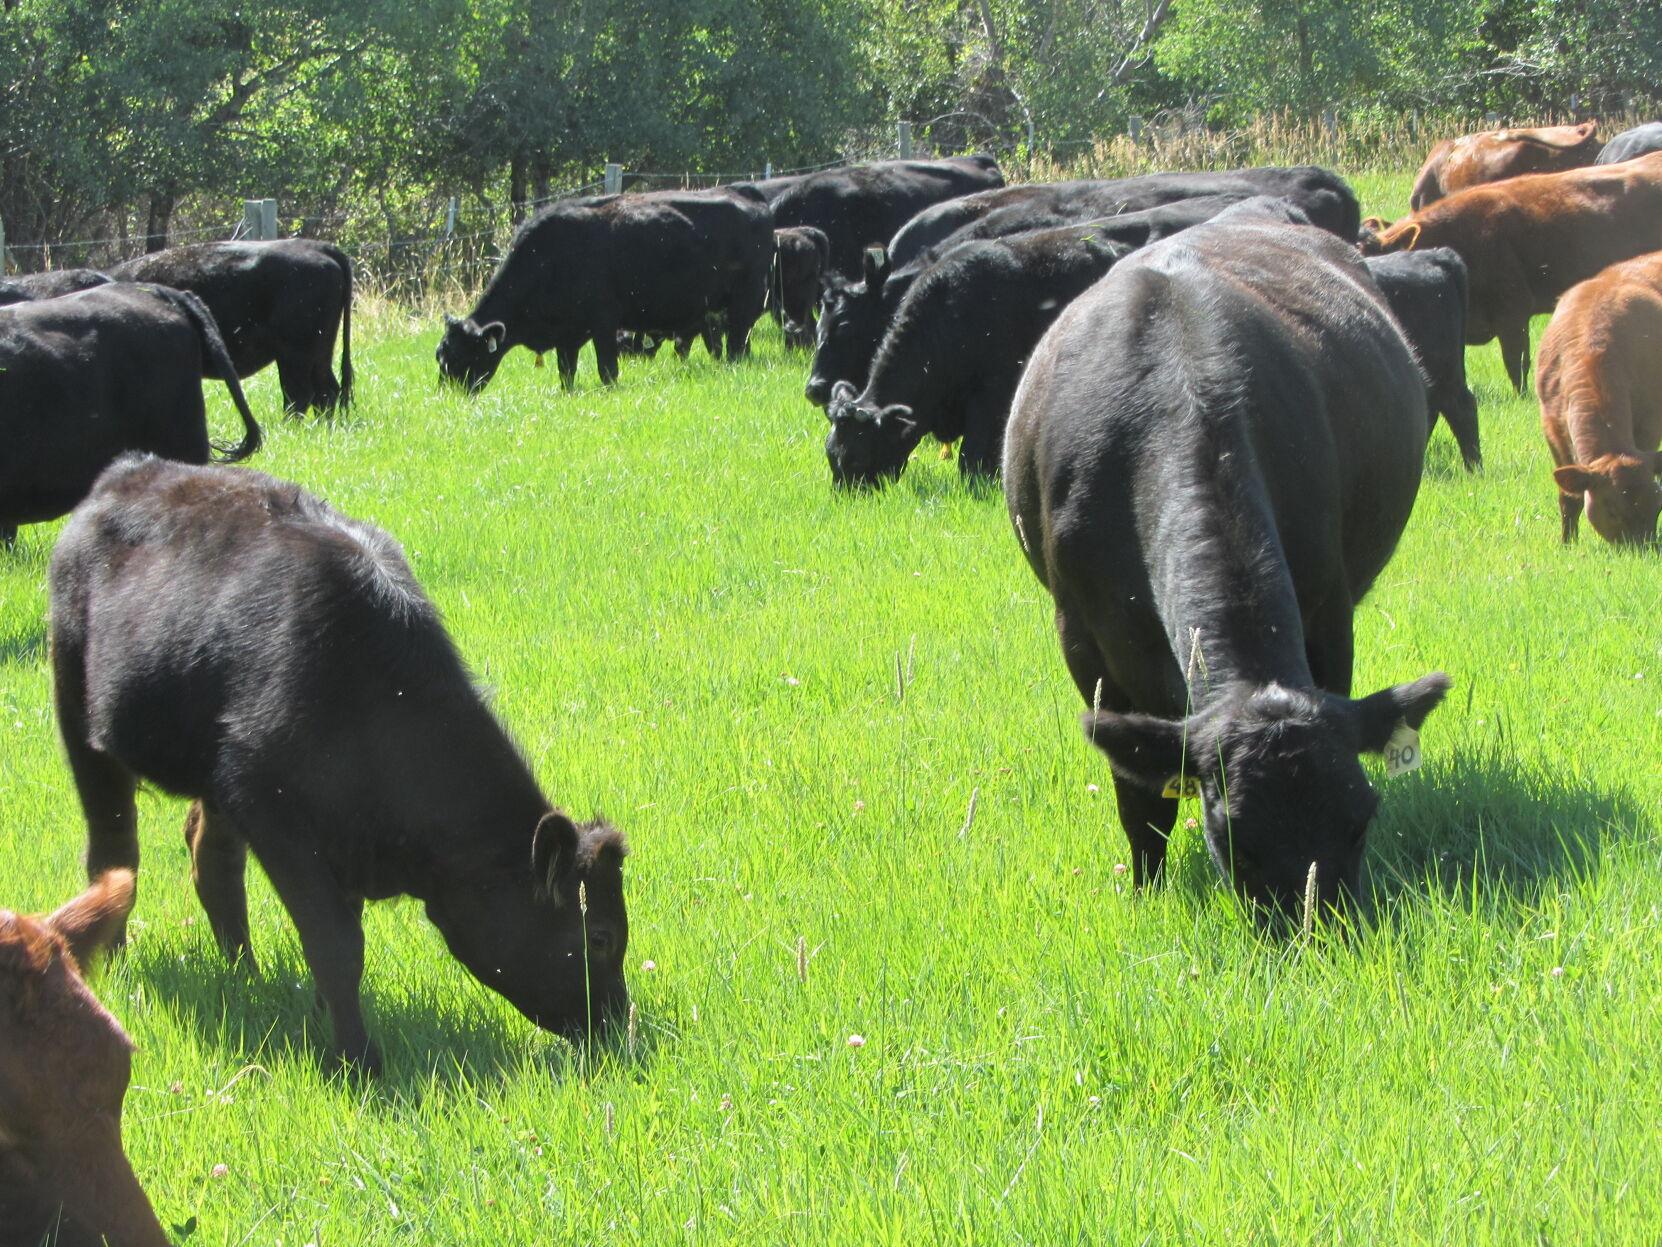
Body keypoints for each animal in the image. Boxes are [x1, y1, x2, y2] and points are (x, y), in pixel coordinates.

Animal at [49, 455, 631, 1075]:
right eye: (598, 936)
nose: (617, 1025)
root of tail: (131, 469)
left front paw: (325, 1023)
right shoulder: (276, 816)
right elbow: (337, 946)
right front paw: (358, 1060)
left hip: (217, 770)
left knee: (212, 859)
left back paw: (245, 975)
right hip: (81, 717)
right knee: (114, 848)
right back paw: (114, 964)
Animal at [438, 185, 773, 394]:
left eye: (462, 356)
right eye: (440, 354)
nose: (447, 397)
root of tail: (746, 193)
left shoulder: (604, 323)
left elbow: (607, 370)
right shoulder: (568, 334)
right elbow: (567, 373)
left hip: (745, 302)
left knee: (737, 346)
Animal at [1003, 201, 1450, 921]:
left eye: (1362, 819)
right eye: (1234, 836)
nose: (1319, 935)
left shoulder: (1330, 610)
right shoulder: (1086, 643)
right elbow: (1140, 801)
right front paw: (1147, 894)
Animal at [1536, 251, 1662, 544]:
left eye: (1657, 507)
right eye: (1612, 511)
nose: (1643, 548)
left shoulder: (1650, 424)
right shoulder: (1551, 427)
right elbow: (1569, 497)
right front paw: (1567, 543)